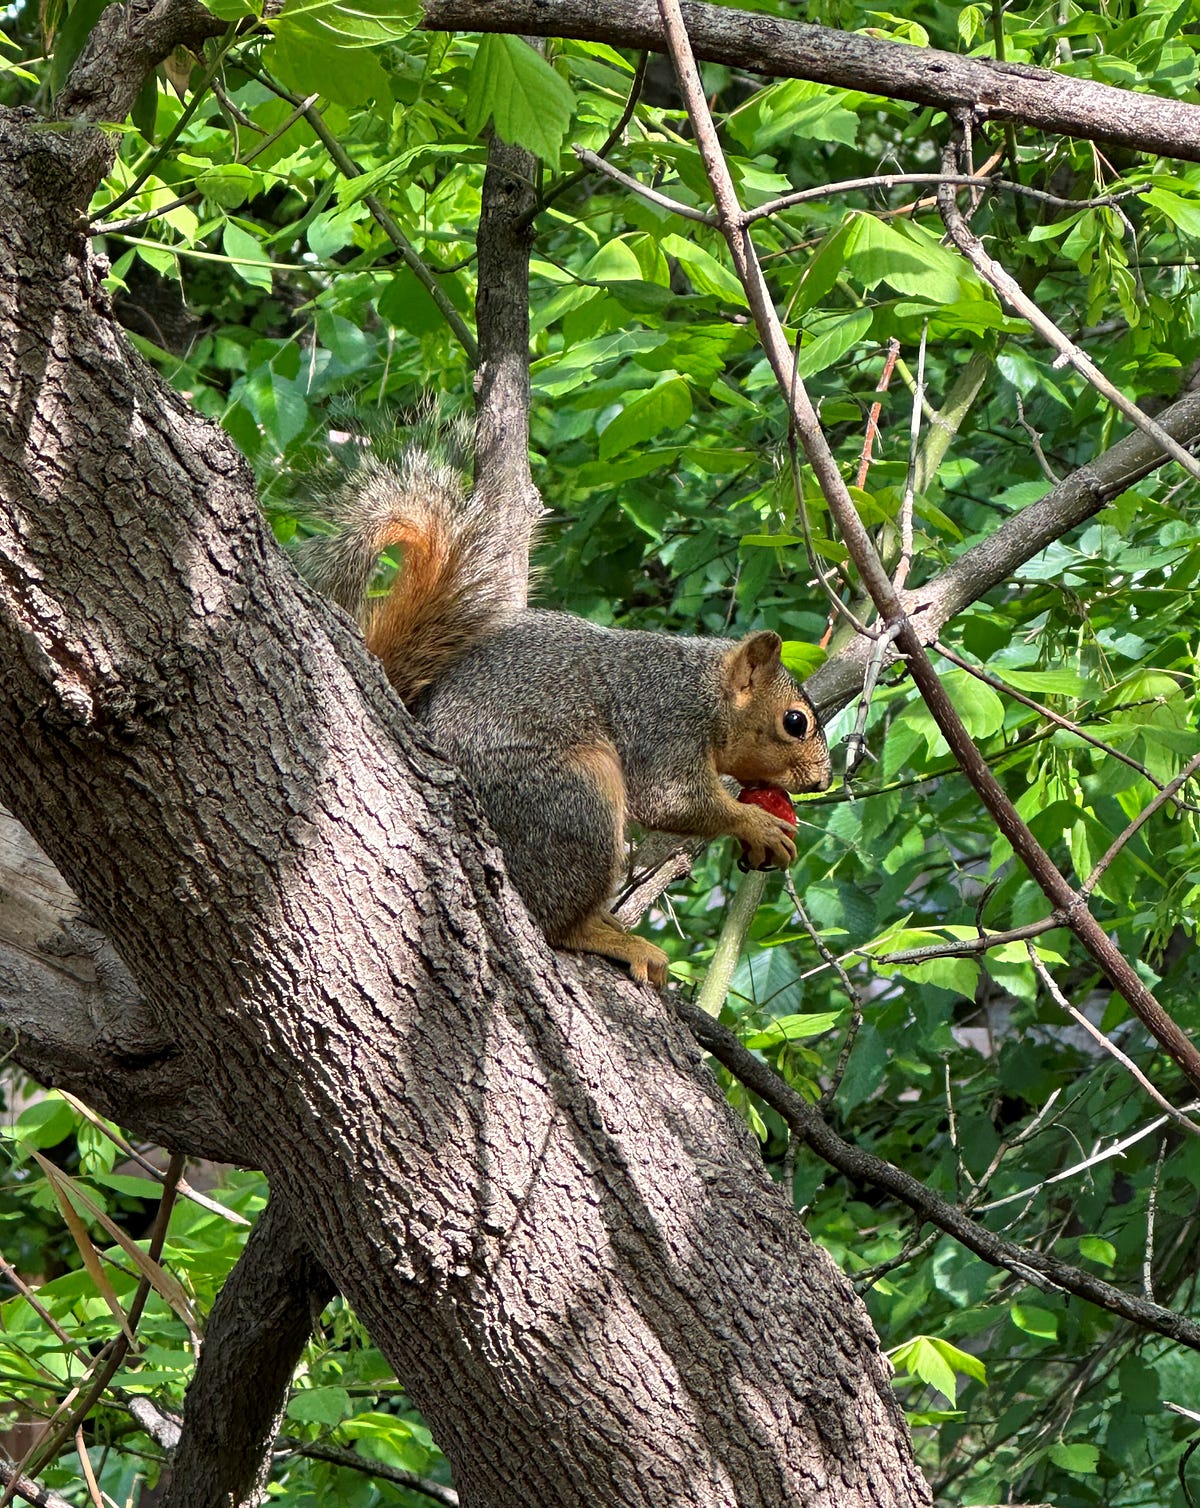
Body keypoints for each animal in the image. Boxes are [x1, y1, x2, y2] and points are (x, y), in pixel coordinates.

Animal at [301, 446, 832, 987]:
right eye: (795, 722)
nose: (822, 780)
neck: (704, 692)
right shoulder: (663, 725)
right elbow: (670, 803)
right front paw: (757, 825)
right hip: (572, 797)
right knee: (553, 920)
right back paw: (607, 935)